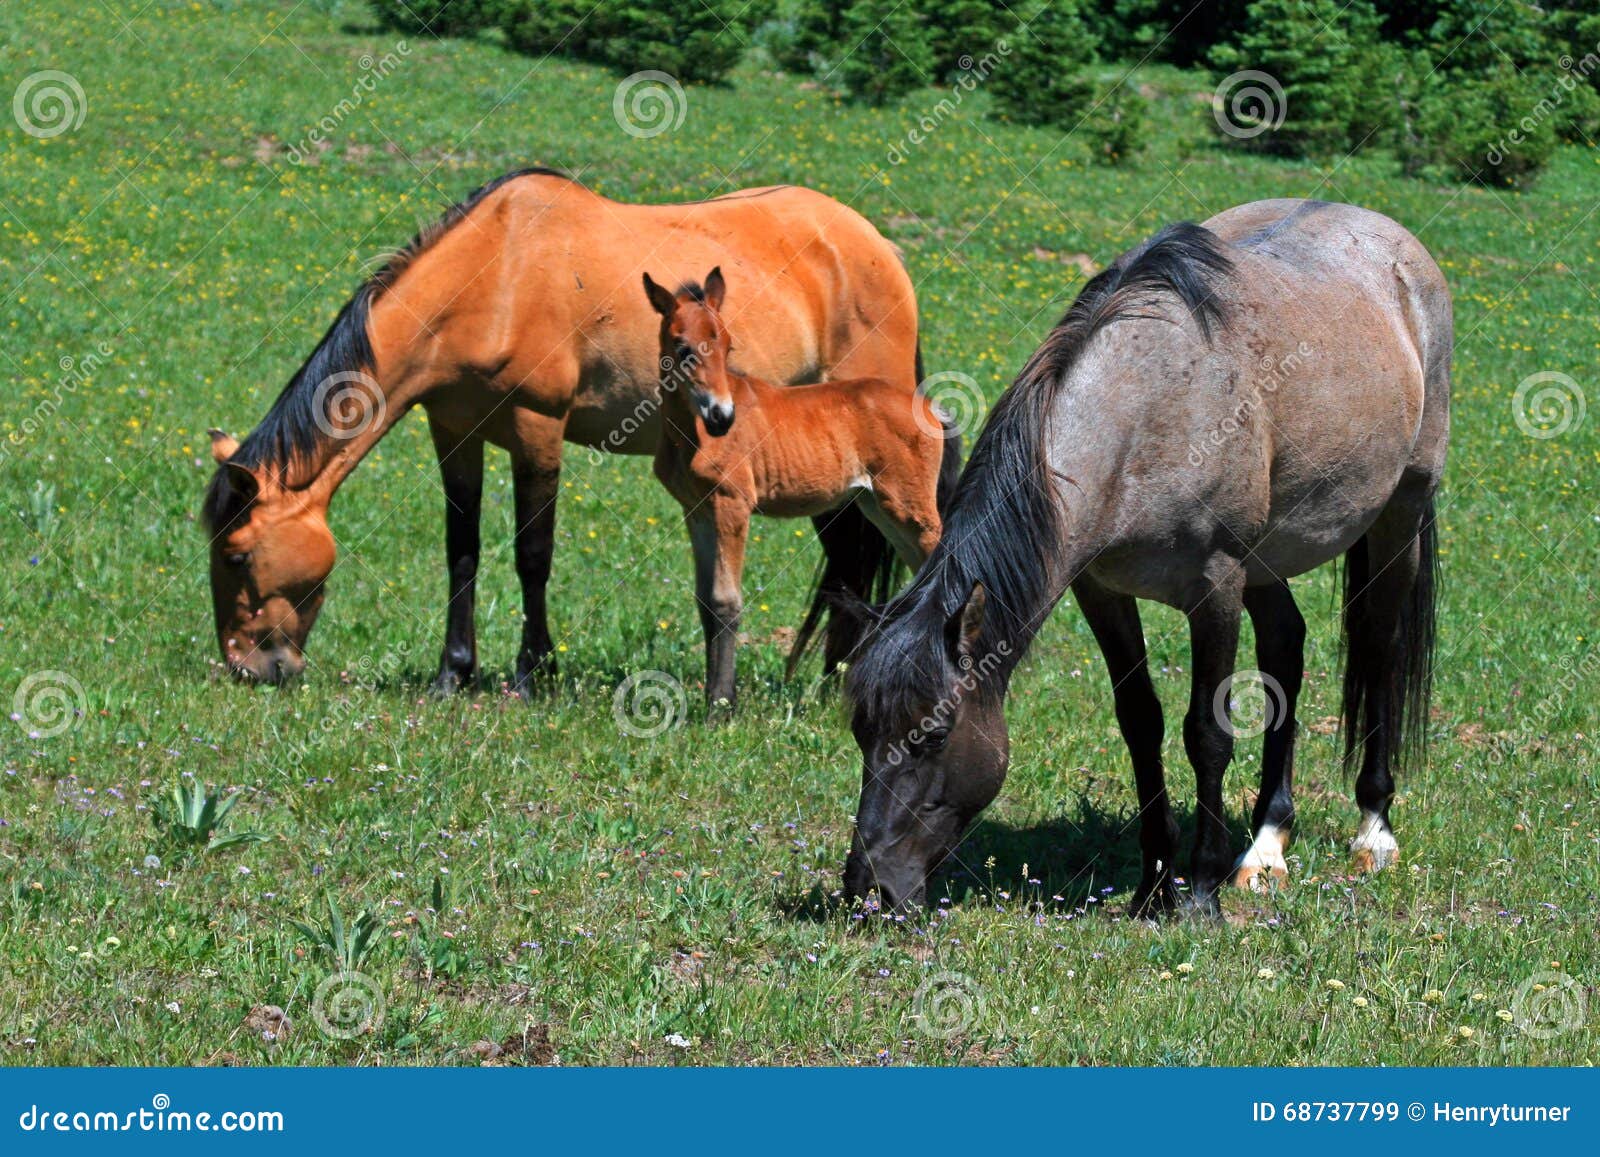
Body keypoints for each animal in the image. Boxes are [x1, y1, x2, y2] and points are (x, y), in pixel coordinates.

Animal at [200, 167, 923, 690]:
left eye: (235, 554)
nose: (247, 667)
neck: (496, 277)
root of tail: (877, 248)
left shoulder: (538, 431)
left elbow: (532, 554)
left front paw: (532, 671)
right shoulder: (454, 433)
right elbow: (461, 550)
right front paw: (452, 673)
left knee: (856, 553)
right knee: (847, 557)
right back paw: (831, 678)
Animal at [643, 267, 959, 716]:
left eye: (728, 344)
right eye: (683, 348)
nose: (723, 417)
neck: (691, 433)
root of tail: (931, 408)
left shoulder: (732, 505)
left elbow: (726, 601)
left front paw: (721, 705)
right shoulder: (697, 511)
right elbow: (705, 600)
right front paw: (710, 698)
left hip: (909, 506)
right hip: (879, 508)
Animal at [840, 199, 1450, 917]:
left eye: (933, 735)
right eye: (861, 730)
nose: (868, 887)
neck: (1152, 411)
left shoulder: (1215, 588)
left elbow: (1206, 731)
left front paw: (1201, 888)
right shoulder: (1102, 590)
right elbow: (1141, 721)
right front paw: (1154, 882)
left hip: (1400, 512)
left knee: (1380, 647)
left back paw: (1373, 829)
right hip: (1269, 556)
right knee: (1285, 646)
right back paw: (1267, 843)